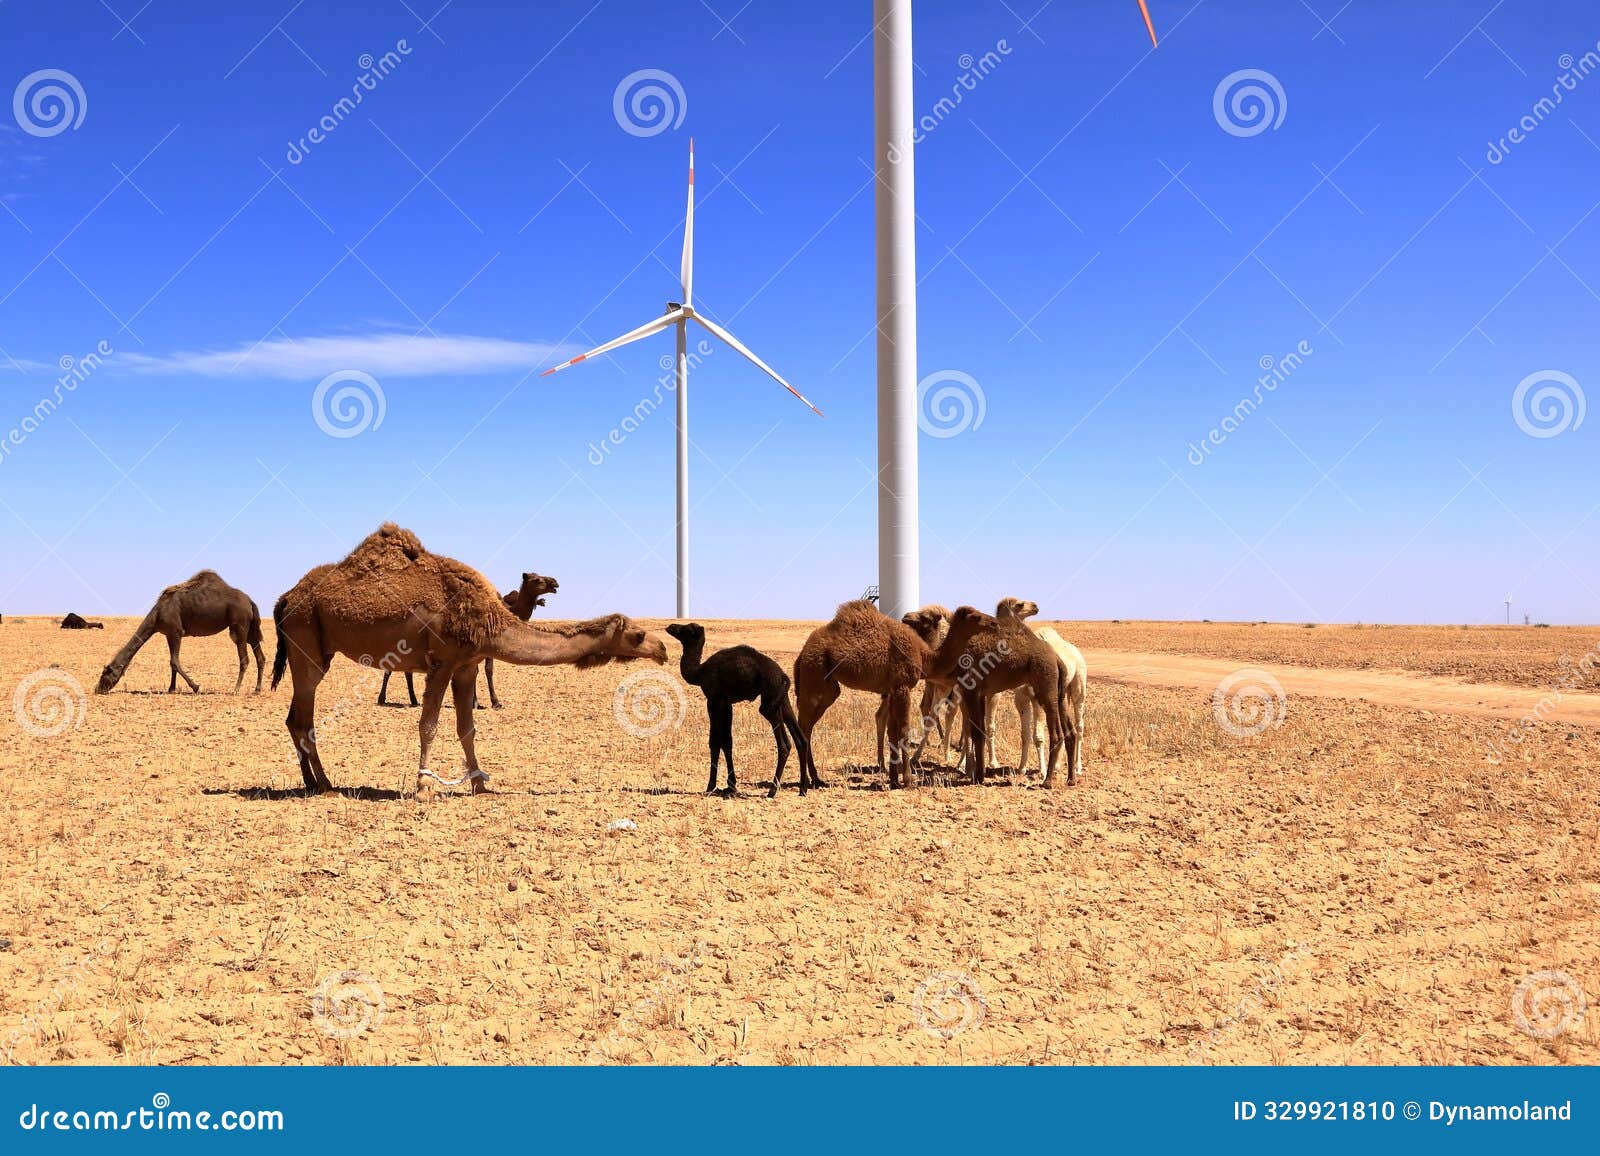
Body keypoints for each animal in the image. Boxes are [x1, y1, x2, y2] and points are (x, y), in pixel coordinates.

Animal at [96, 571, 265, 695]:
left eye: (105, 674)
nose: (97, 689)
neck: (157, 614)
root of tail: (250, 601)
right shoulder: (169, 634)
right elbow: (172, 662)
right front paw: (171, 689)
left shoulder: (176, 632)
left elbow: (174, 661)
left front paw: (196, 687)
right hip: (250, 630)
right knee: (260, 657)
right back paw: (257, 690)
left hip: (239, 626)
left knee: (244, 659)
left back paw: (235, 690)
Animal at [377, 571, 560, 709]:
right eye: (537, 579)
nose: (555, 582)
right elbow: (486, 670)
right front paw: (490, 703)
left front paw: (479, 702)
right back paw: (383, 699)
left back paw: (413, 700)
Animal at [666, 622, 813, 798]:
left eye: (687, 629)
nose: (671, 626)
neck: (699, 672)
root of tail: (784, 676)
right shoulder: (727, 704)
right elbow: (727, 742)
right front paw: (731, 786)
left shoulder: (713, 701)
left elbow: (715, 741)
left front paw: (710, 787)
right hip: (783, 700)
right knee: (801, 740)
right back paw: (802, 789)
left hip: (769, 703)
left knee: (784, 744)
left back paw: (772, 791)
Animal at [793, 599, 935, 789]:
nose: (906, 617)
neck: (922, 653)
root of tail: (801, 654)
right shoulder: (902, 687)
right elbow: (903, 729)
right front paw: (908, 780)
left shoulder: (892, 690)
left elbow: (892, 730)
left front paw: (894, 778)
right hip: (814, 677)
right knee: (804, 725)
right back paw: (808, 780)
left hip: (828, 689)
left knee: (808, 727)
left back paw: (815, 778)